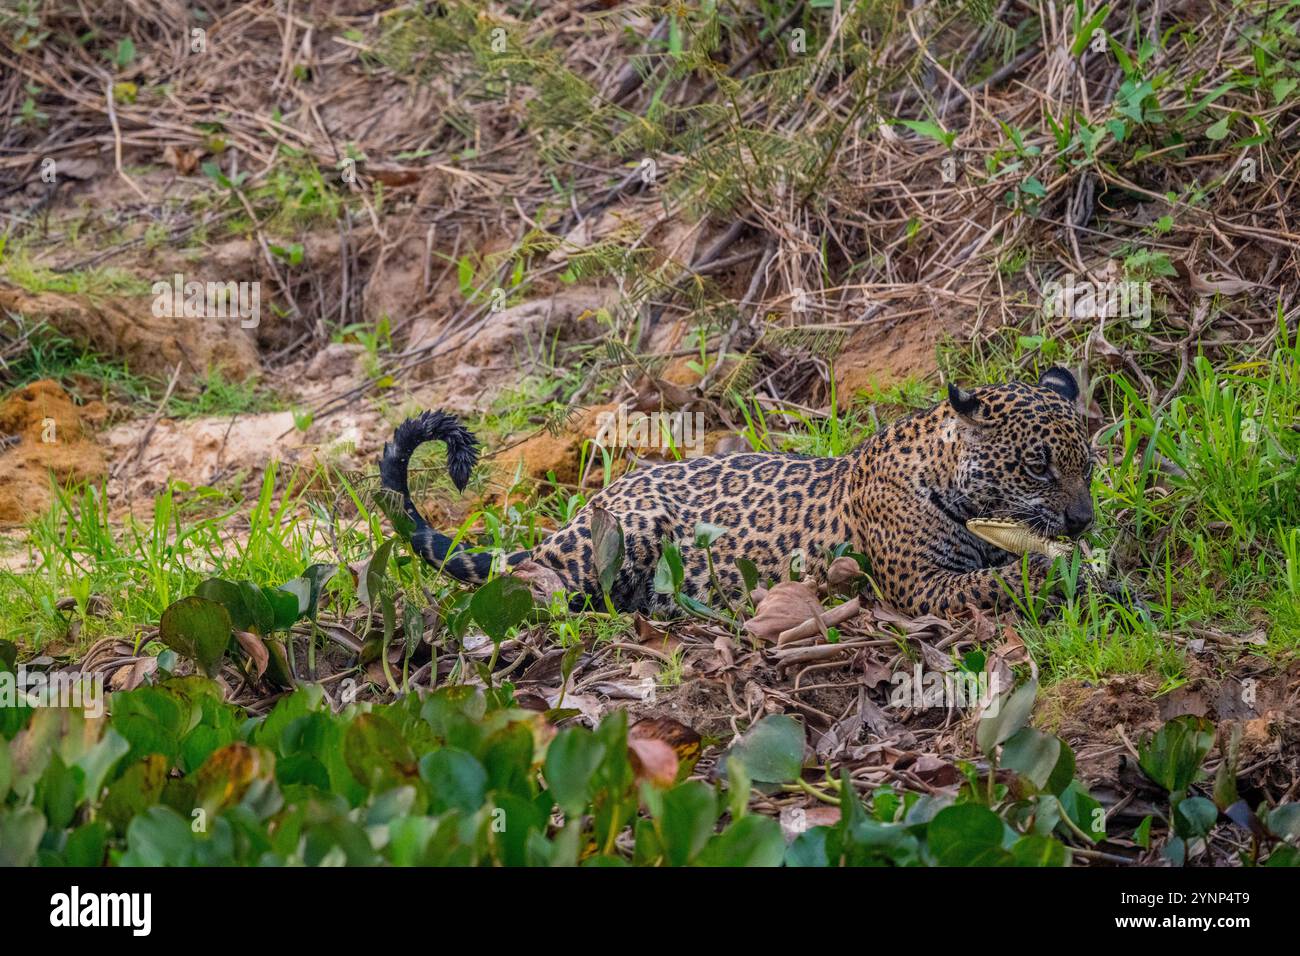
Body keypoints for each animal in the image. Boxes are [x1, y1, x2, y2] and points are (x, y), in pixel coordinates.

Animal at [379, 367, 1100, 619]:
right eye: (1037, 466)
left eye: (1088, 466)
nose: (1083, 520)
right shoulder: (920, 585)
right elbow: (995, 580)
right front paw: (1060, 576)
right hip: (621, 534)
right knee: (534, 580)